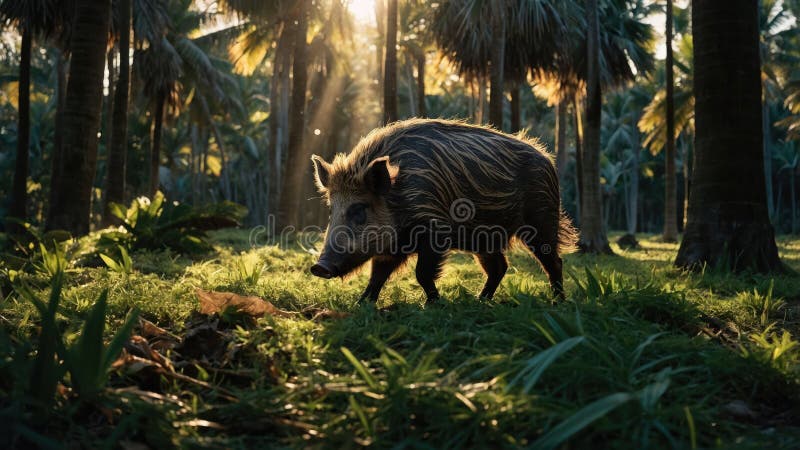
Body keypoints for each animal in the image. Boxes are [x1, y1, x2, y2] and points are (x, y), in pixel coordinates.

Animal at [309, 118, 577, 302]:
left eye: (359, 209)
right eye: (331, 210)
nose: (319, 267)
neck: (399, 197)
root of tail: (547, 159)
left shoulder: (436, 231)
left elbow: (422, 273)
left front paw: (434, 304)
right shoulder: (392, 245)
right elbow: (378, 274)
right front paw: (362, 304)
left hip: (542, 219)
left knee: (554, 261)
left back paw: (558, 302)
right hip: (485, 239)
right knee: (499, 267)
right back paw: (481, 301)